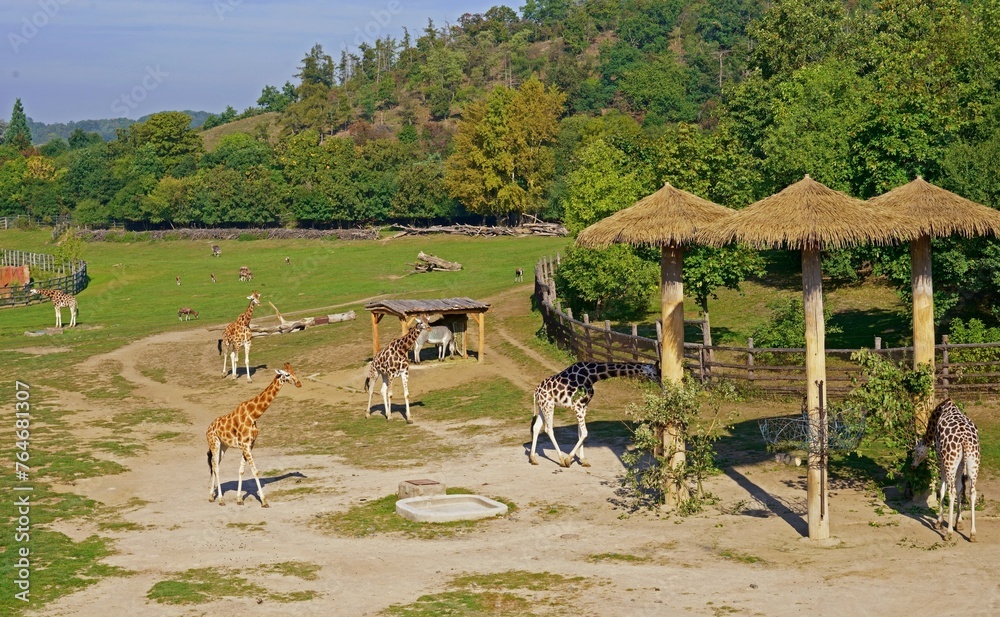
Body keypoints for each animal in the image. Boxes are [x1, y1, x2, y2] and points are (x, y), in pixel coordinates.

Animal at [207, 363, 301, 507]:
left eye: (294, 372)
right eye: (287, 374)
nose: (299, 383)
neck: (254, 415)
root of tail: (207, 430)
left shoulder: (249, 444)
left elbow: (241, 470)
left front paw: (239, 499)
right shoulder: (245, 445)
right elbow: (255, 471)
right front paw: (264, 501)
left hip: (223, 446)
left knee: (214, 464)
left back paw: (212, 496)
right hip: (214, 443)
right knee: (216, 467)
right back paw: (221, 500)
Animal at [530, 362, 659, 468]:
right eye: (655, 373)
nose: (660, 382)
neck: (592, 375)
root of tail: (536, 391)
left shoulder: (584, 406)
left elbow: (580, 433)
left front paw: (583, 460)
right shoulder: (577, 406)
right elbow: (585, 433)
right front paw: (568, 460)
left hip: (543, 406)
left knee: (536, 427)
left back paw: (533, 459)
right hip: (548, 405)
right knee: (548, 429)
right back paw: (561, 460)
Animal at [912, 398, 981, 542]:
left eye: (916, 451)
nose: (912, 465)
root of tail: (965, 440)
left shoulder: (940, 458)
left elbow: (942, 488)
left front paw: (939, 522)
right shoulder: (960, 464)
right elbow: (960, 487)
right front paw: (959, 523)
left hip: (950, 462)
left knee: (951, 491)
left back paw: (948, 533)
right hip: (973, 461)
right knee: (972, 492)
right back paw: (973, 534)